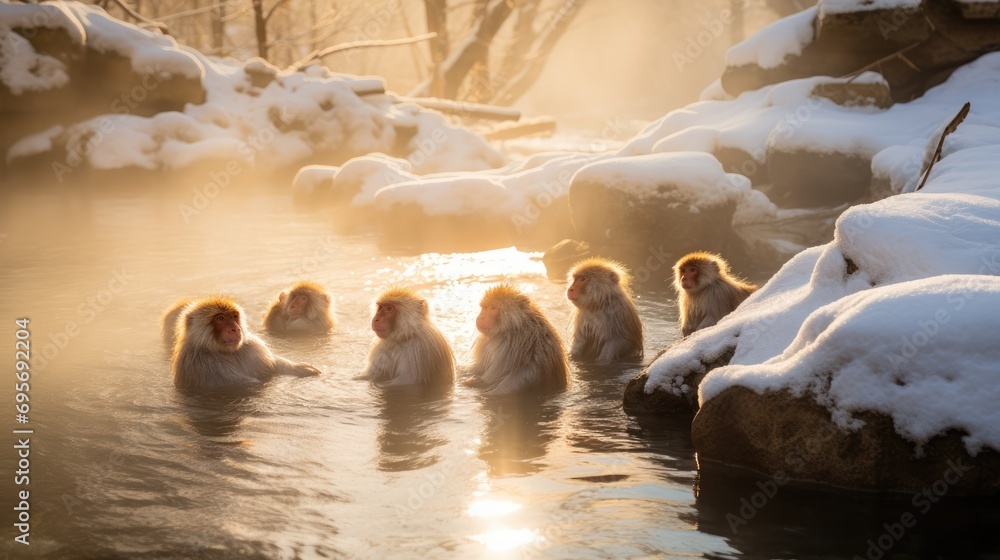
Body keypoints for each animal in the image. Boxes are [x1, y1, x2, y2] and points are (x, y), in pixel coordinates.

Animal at [167, 296, 321, 390]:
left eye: (234, 316)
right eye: (220, 319)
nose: (235, 328)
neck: (222, 351)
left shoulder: (250, 347)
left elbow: (272, 365)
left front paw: (299, 368)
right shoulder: (203, 364)